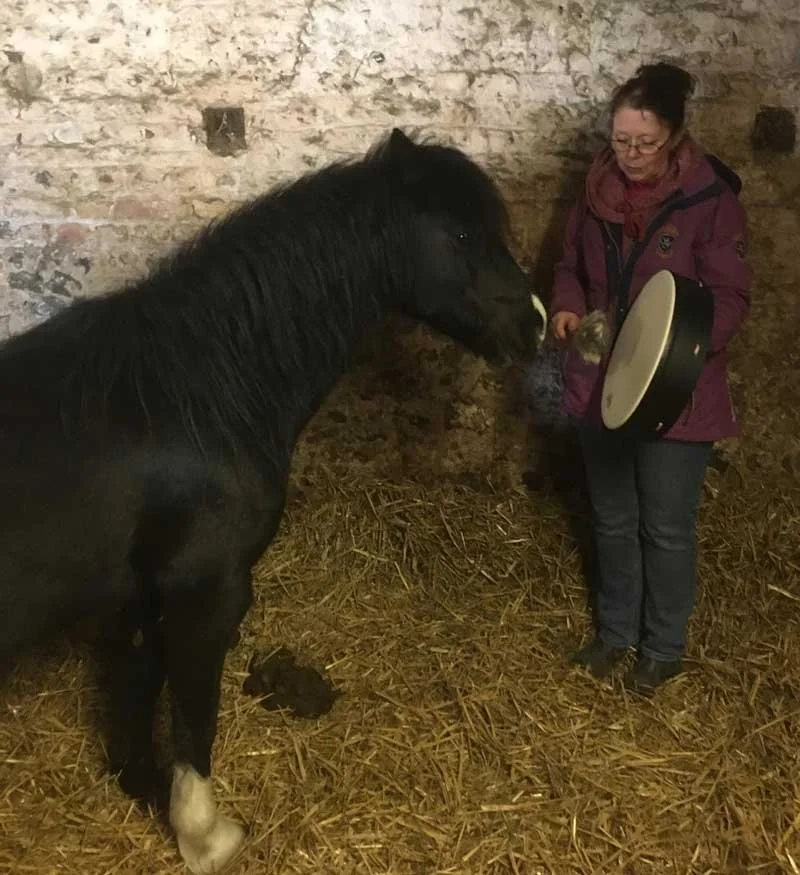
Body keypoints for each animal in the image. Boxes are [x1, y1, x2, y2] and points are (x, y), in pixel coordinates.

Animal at [0, 127, 546, 873]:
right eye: (461, 234)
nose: (535, 324)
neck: (195, 394)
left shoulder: (145, 593)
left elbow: (139, 687)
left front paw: (142, 787)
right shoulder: (209, 590)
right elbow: (195, 709)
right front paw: (204, 835)